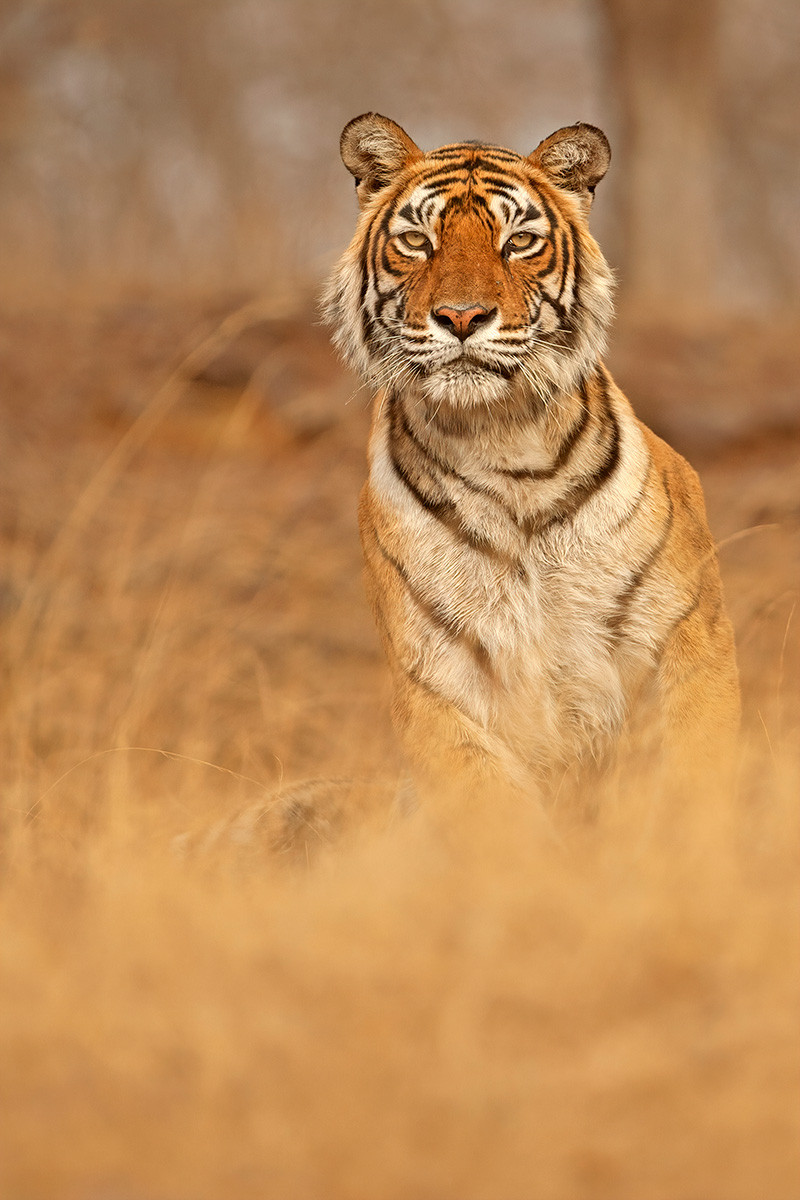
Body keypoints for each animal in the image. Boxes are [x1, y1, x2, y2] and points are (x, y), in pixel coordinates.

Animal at [323, 112, 740, 812]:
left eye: (518, 241)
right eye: (416, 240)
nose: (461, 317)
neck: (505, 444)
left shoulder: (687, 633)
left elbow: (697, 787)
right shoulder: (439, 681)